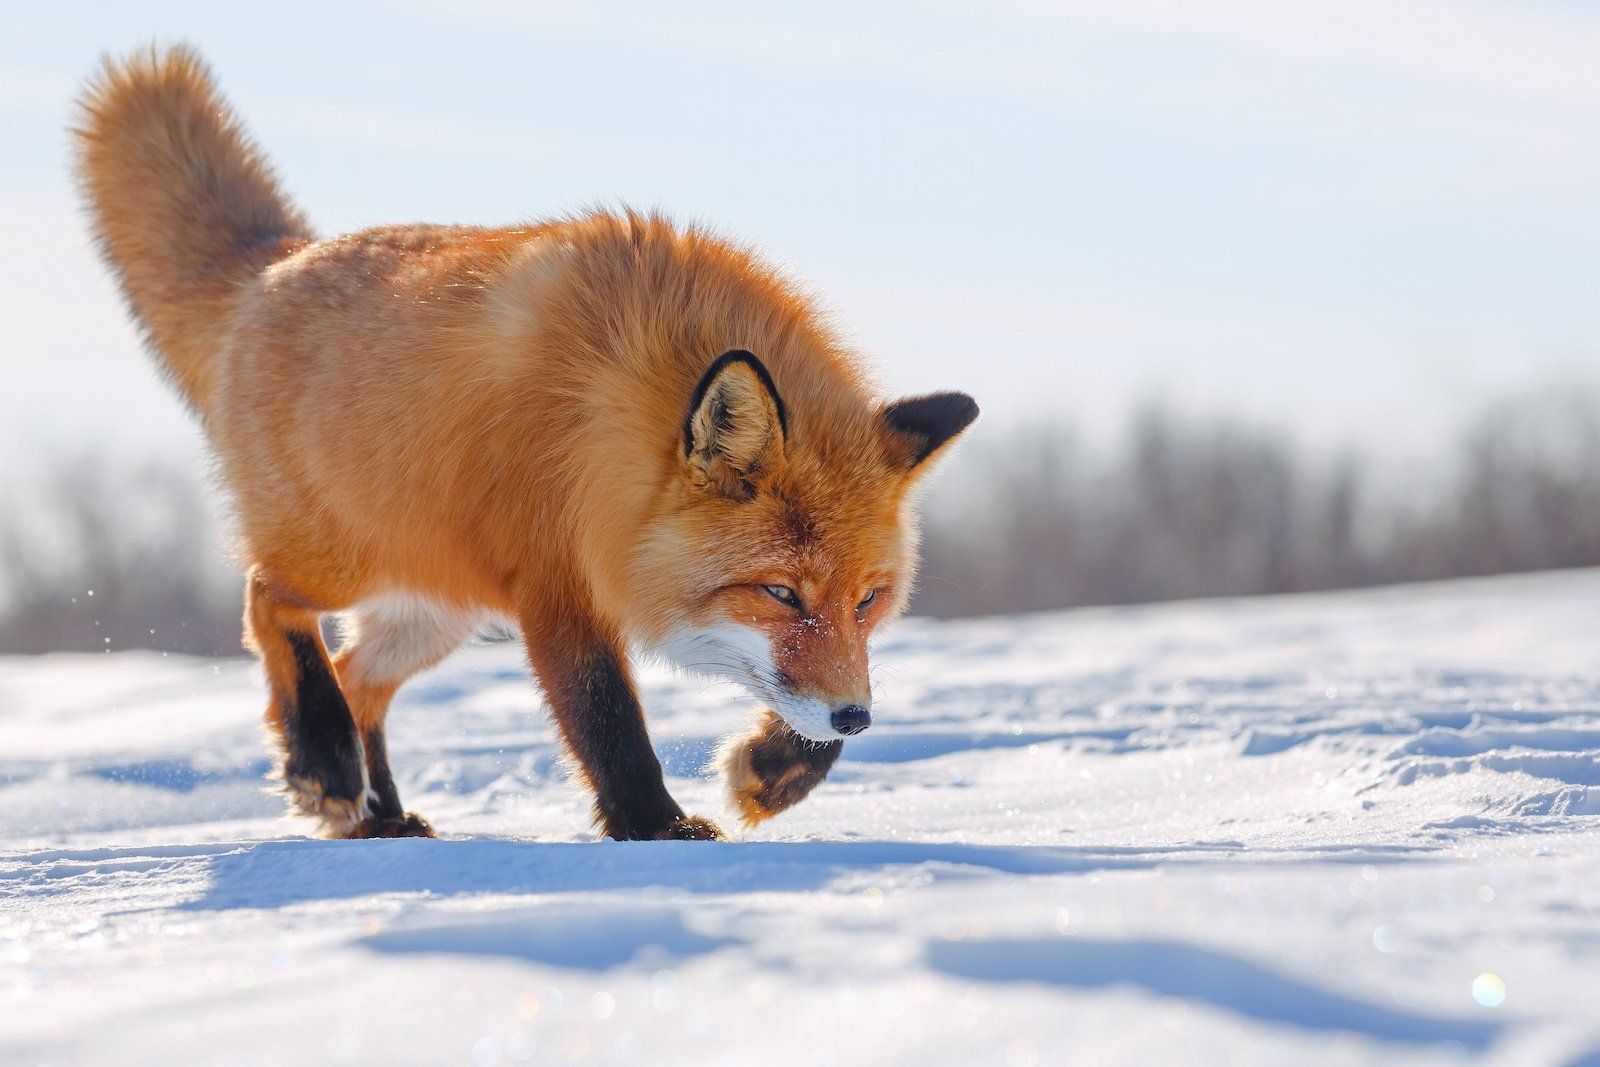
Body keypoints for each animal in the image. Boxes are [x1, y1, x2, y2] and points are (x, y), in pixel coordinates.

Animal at [71, 45, 977, 842]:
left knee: (360, 680)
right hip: (345, 560)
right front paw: (658, 829)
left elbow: (799, 700)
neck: (614, 409)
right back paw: (325, 763)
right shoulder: (556, 581)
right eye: (781, 593)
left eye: (868, 600)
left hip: (435, 610)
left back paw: (376, 814)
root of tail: (274, 264)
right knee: (268, 602)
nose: (856, 719)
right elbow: (607, 719)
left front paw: (776, 771)